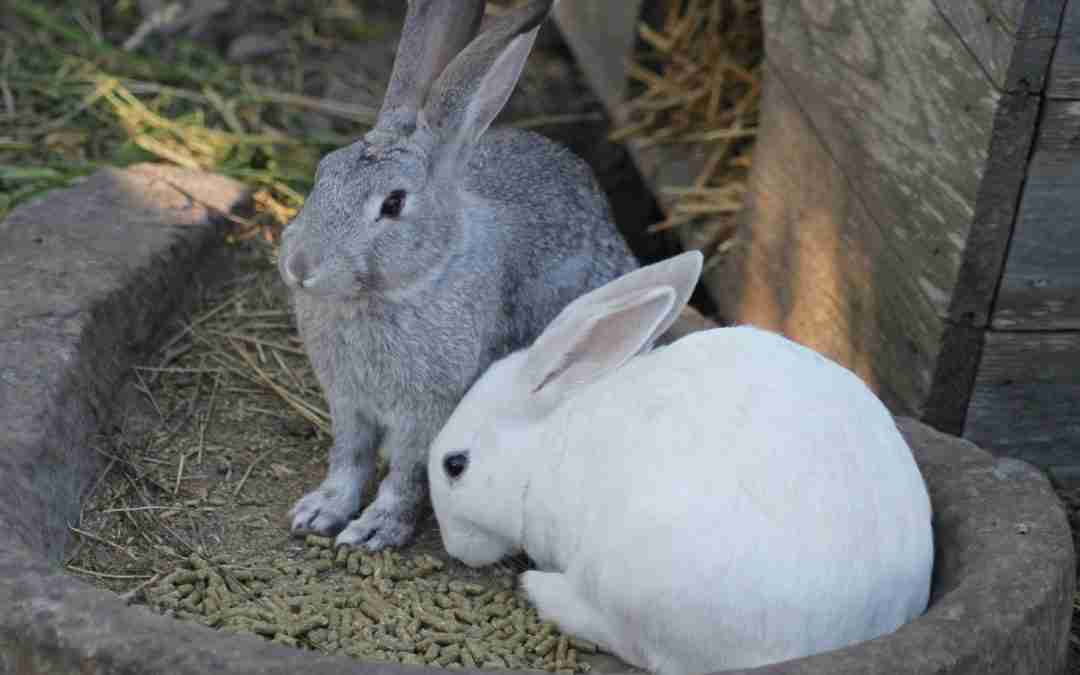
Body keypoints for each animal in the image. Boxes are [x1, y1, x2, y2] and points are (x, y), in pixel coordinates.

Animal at [277, 0, 639, 551]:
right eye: (323, 172)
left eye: (393, 203)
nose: (300, 267)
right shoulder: (348, 404)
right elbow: (349, 460)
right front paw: (320, 511)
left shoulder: (426, 412)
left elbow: (404, 474)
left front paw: (376, 529)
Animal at [428, 251, 935, 675]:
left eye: (455, 465)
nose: (453, 549)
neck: (543, 447)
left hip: (633, 576)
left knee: (634, 644)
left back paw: (539, 589)